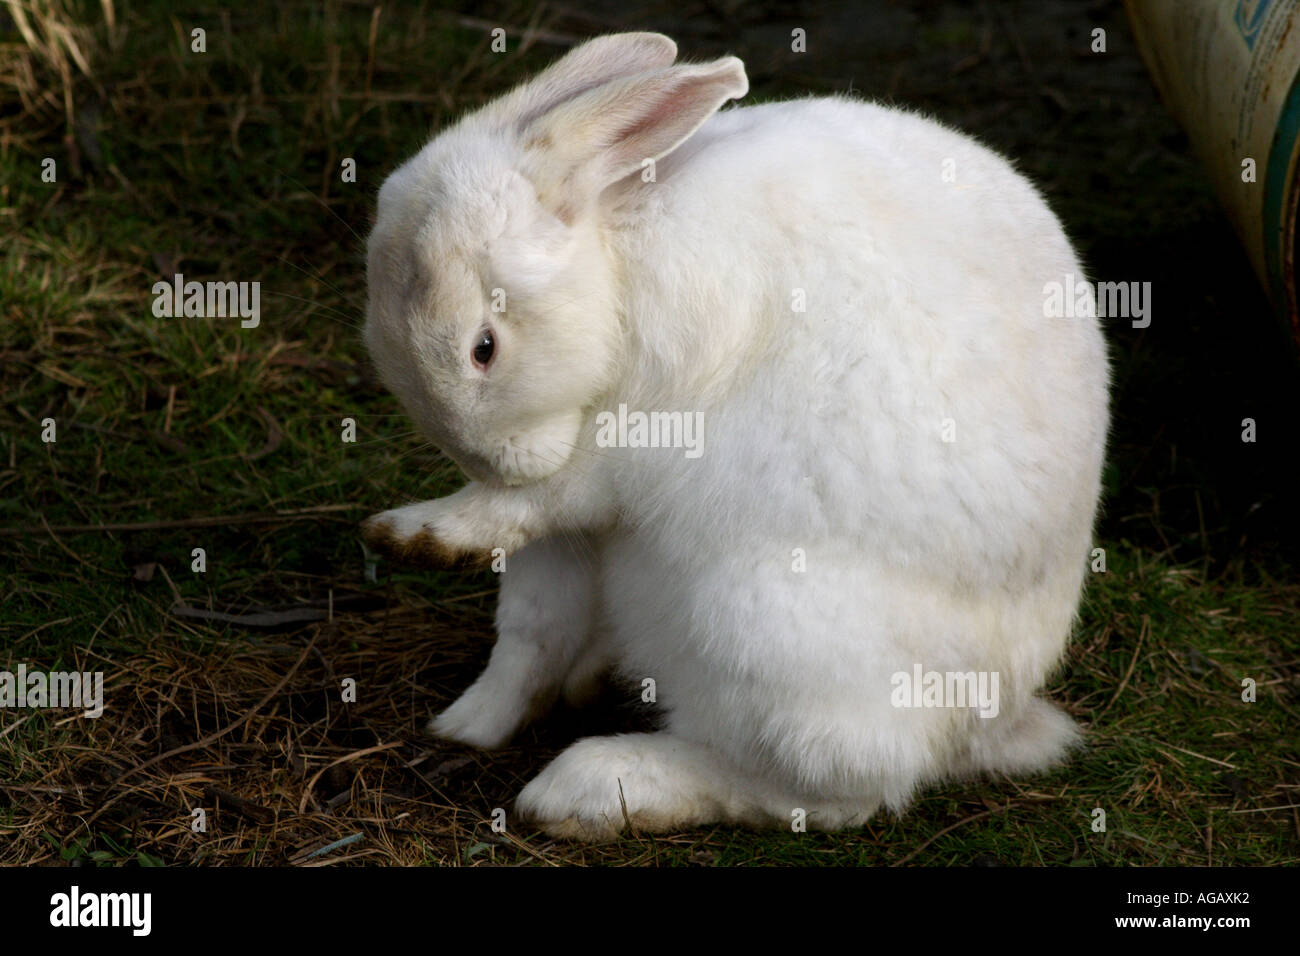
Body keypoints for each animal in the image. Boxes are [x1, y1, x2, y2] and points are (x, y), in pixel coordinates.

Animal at [361, 32, 1110, 841]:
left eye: (484, 348)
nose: (496, 463)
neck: (616, 257)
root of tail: (989, 720)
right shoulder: (564, 543)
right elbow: (531, 628)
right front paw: (467, 724)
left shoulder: (629, 438)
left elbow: (551, 504)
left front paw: (414, 533)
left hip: (762, 630)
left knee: (827, 788)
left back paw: (592, 788)